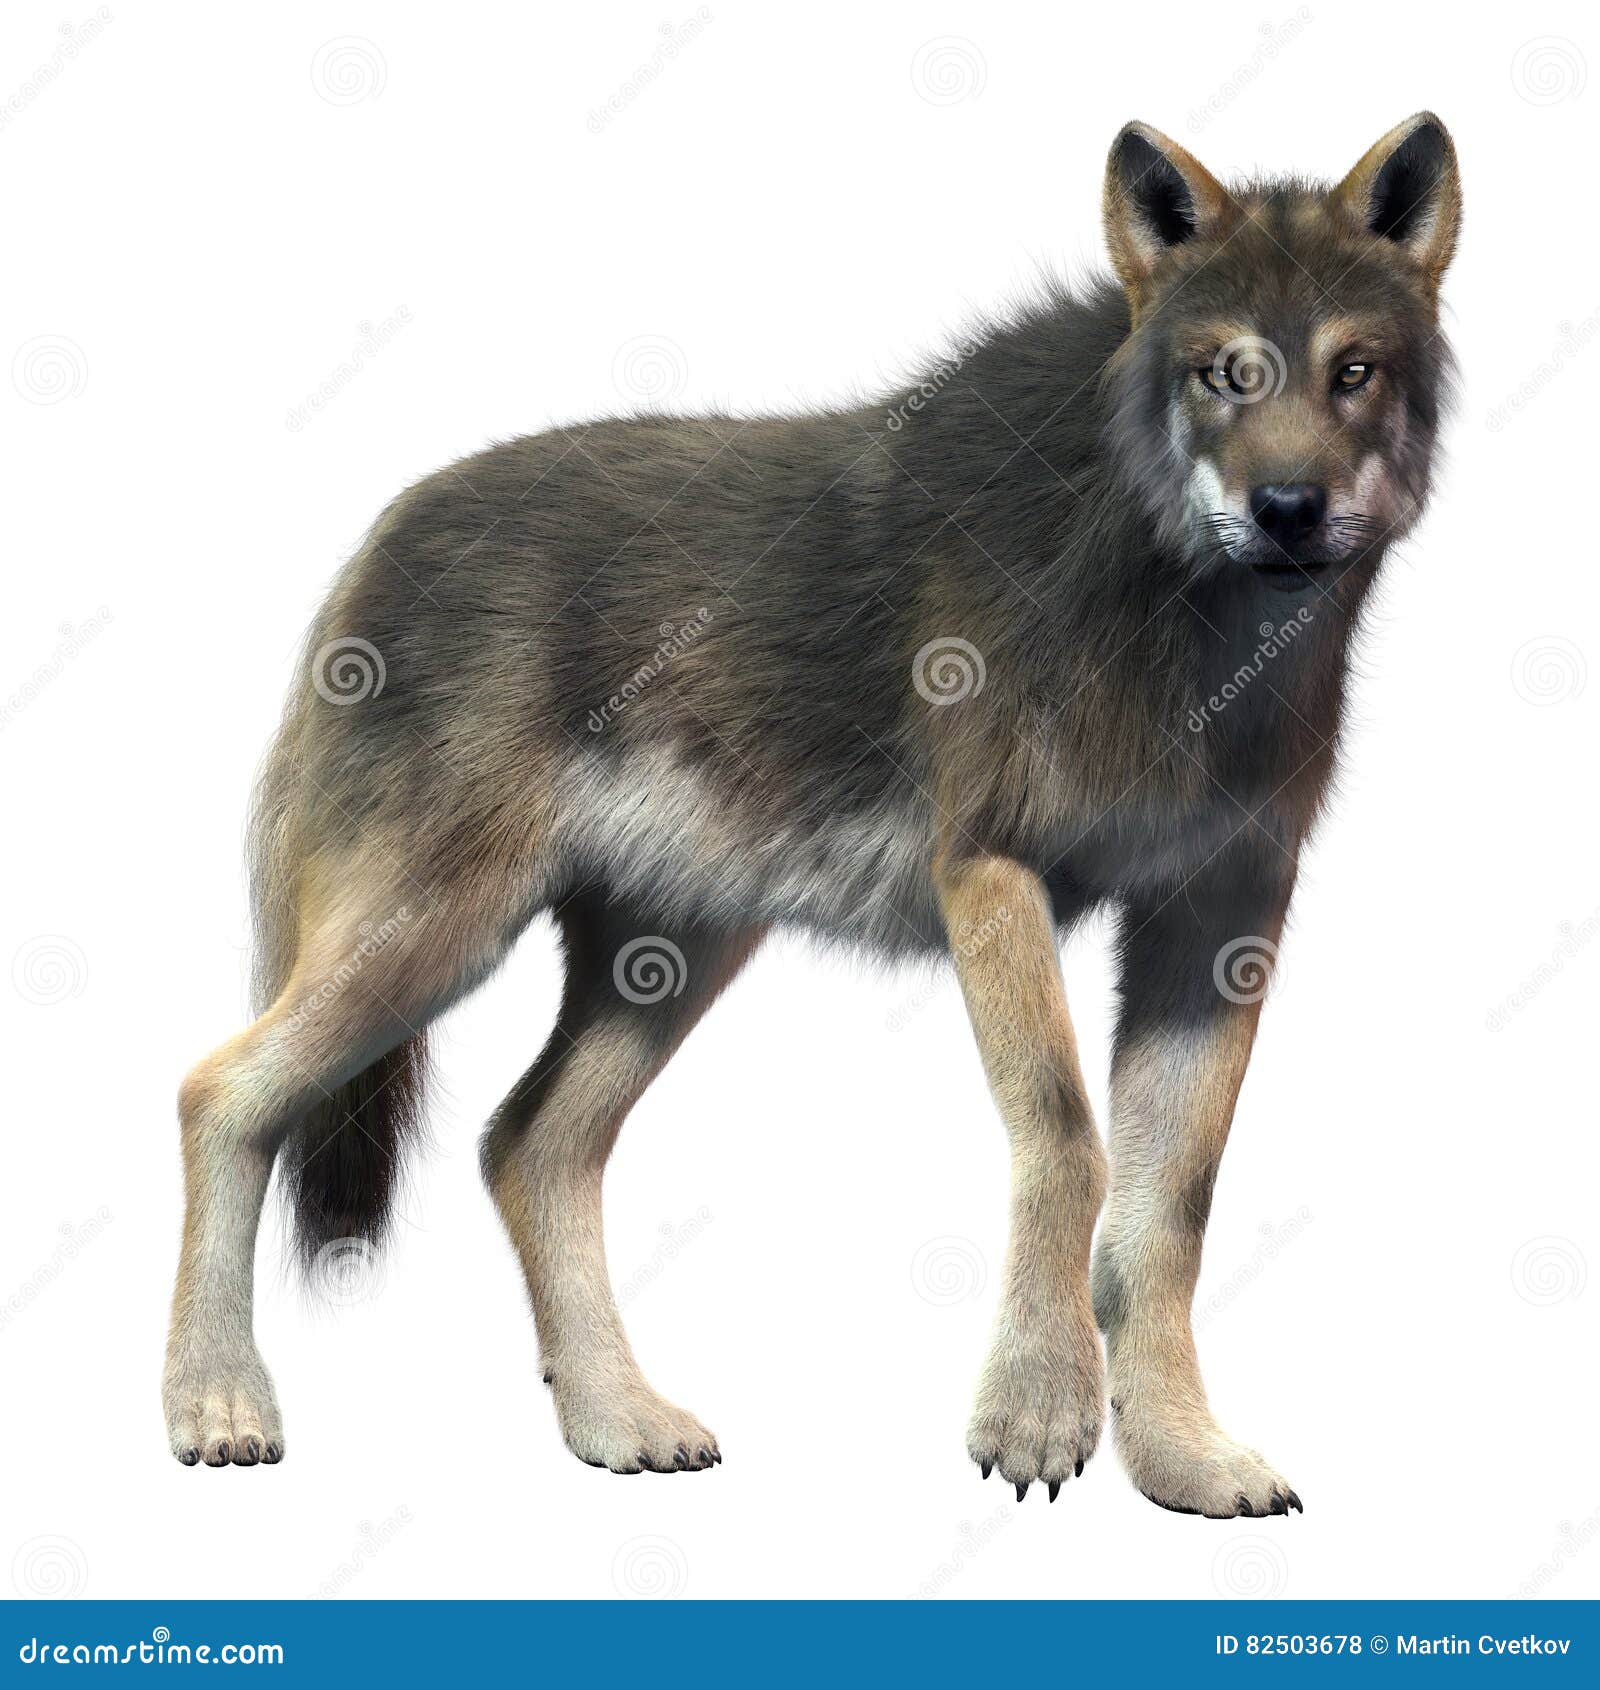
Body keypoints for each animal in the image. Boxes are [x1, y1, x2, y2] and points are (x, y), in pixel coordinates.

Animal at [164, 114, 1459, 1515]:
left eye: (1352, 371)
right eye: (1227, 373)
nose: (1288, 511)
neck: (1187, 628)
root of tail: (378, 539)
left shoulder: (1220, 919)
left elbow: (1170, 1207)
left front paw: (1180, 1458)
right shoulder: (990, 869)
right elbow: (1070, 1140)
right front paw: (1036, 1417)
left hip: (663, 963)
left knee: (526, 1144)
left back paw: (615, 1421)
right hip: (437, 938)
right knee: (222, 1091)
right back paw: (217, 1405)